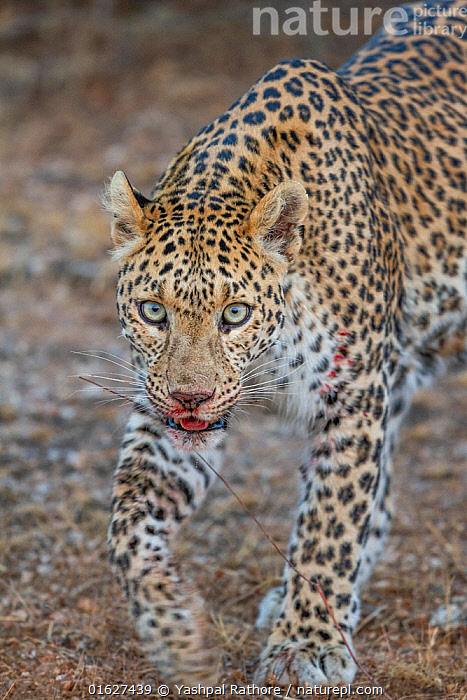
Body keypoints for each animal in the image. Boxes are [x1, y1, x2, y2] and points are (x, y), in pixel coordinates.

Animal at [103, 0, 467, 686]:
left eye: (235, 314)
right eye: (153, 311)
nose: (191, 400)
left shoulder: (354, 394)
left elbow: (331, 522)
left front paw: (305, 644)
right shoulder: (161, 410)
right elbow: (127, 525)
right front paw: (175, 631)